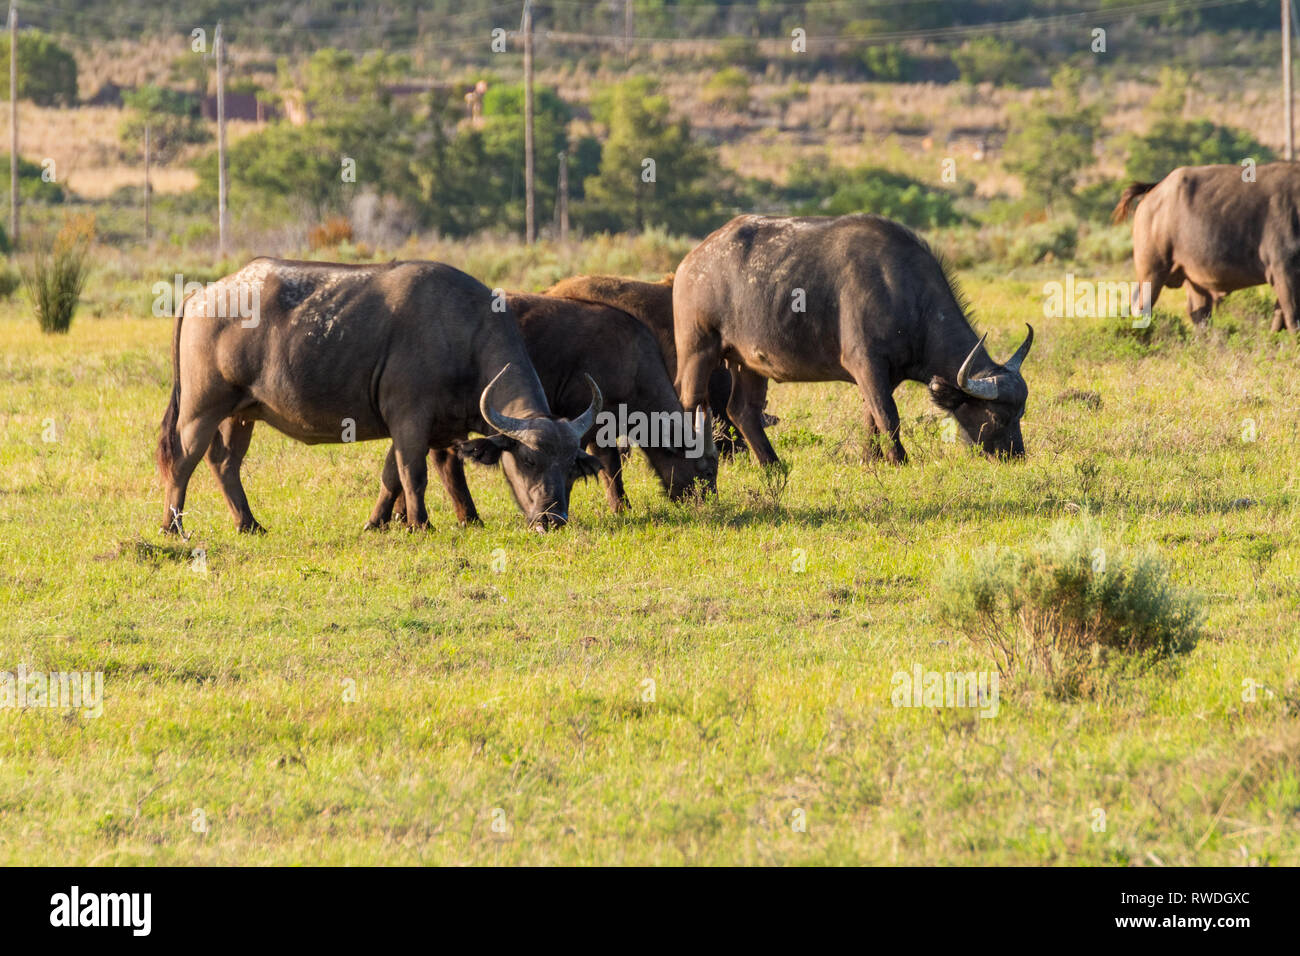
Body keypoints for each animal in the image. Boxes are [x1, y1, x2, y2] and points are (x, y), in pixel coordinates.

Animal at [156, 258, 601, 535]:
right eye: (528, 460)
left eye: (572, 468)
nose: (553, 518)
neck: (465, 336)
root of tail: (201, 294)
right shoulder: (409, 419)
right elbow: (413, 475)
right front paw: (421, 523)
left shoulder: (413, 427)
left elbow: (392, 476)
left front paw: (379, 522)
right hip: (201, 410)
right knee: (183, 460)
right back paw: (173, 526)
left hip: (241, 414)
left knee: (224, 463)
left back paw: (249, 523)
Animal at [367, 291, 716, 527]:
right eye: (705, 470)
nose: (709, 502)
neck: (630, 357)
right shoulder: (586, 419)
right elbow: (606, 465)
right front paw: (617, 506)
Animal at [672, 214, 1033, 466]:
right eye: (998, 416)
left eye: (1021, 413)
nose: (1016, 456)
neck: (906, 294)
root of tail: (691, 262)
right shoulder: (867, 363)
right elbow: (888, 415)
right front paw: (900, 460)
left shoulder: (884, 375)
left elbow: (871, 416)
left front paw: (872, 459)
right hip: (698, 350)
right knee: (689, 400)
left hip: (748, 362)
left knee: (742, 410)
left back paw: (772, 464)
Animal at [1113, 162, 1300, 331]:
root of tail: (1155, 190)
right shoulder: (1283, 271)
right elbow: (1292, 319)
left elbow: (1279, 318)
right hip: (1152, 272)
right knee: (1141, 307)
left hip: (1193, 280)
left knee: (1199, 315)